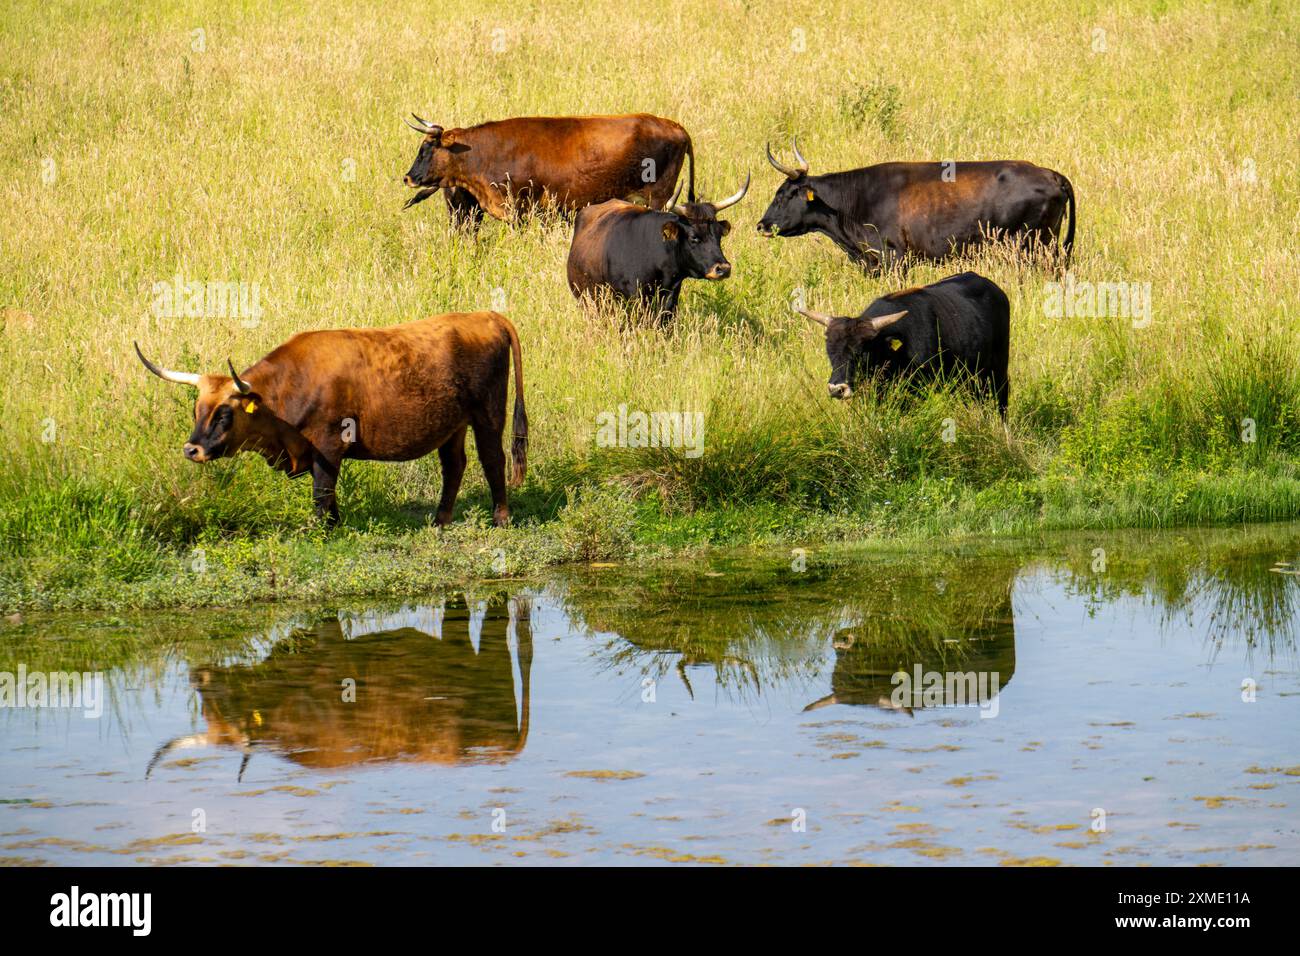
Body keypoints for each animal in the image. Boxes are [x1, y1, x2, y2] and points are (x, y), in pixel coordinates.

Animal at [134, 311, 527, 527]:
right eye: (197, 410)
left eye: (224, 414)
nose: (192, 450)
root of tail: (486, 315)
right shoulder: (313, 451)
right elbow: (327, 490)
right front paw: (336, 525)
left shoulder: (328, 445)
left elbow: (322, 491)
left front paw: (321, 530)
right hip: (453, 424)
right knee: (454, 465)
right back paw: (440, 520)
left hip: (488, 414)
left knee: (493, 460)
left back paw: (500, 518)